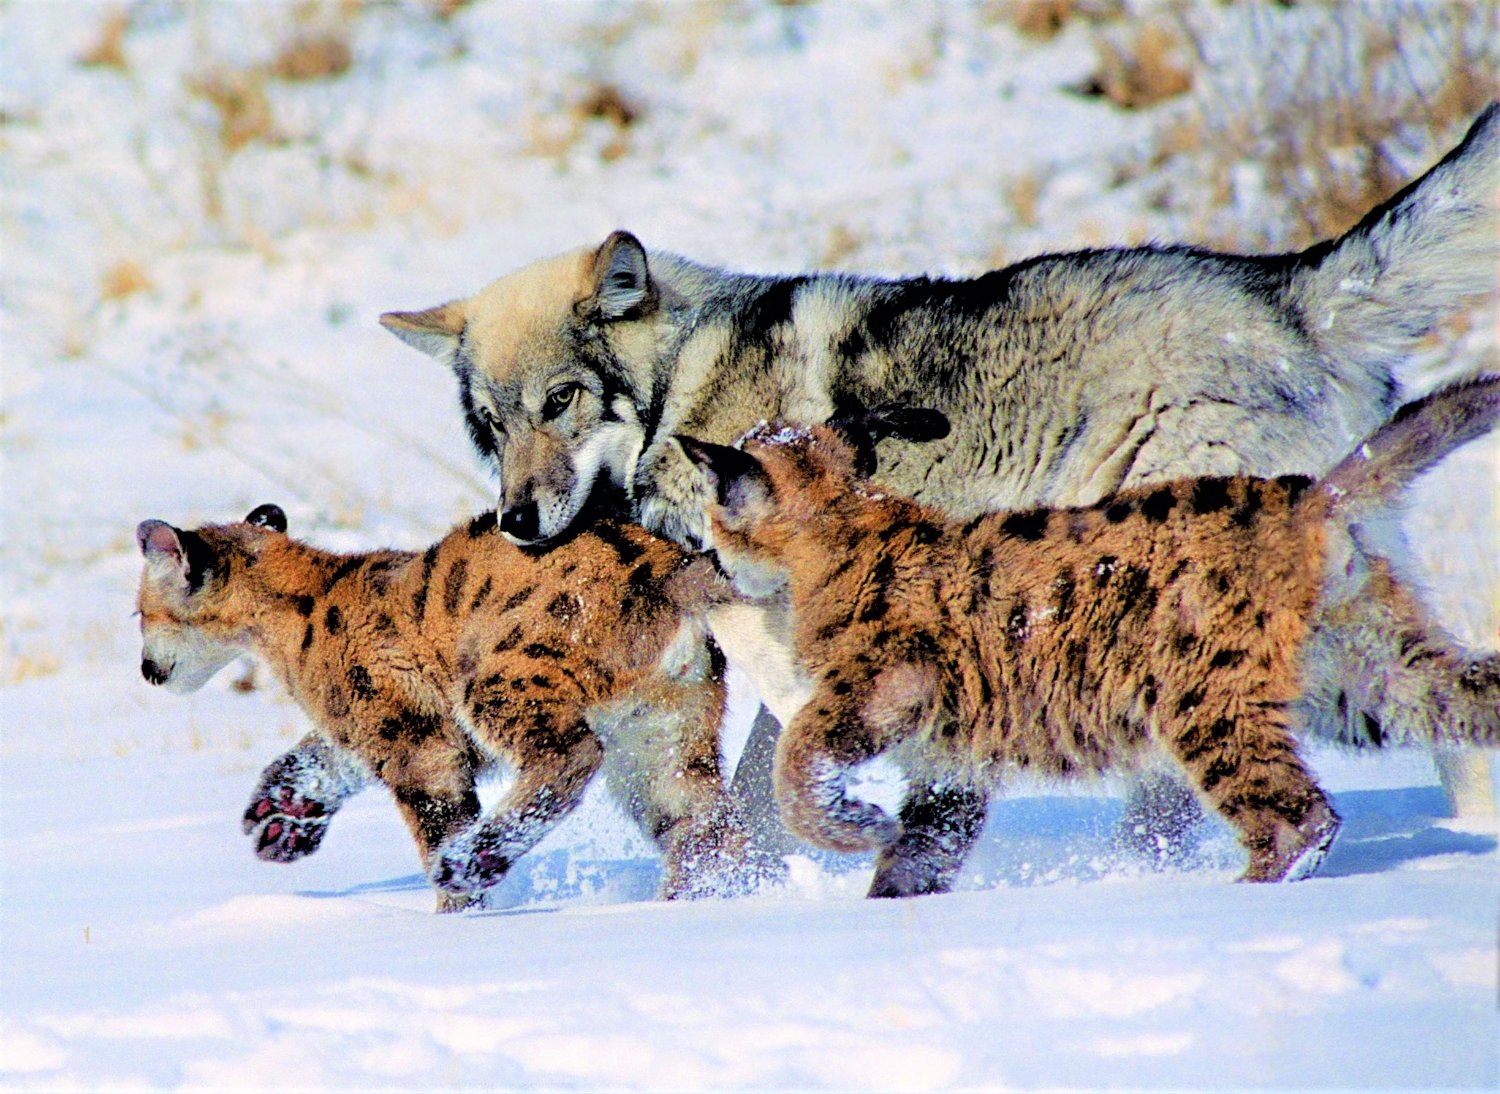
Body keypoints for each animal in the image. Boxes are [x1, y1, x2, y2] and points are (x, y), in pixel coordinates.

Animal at [135, 503, 763, 911]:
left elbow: (435, 819)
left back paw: (472, 860)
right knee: (704, 826)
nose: (145, 670)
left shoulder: (415, 738)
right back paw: (696, 902)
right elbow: (320, 755)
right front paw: (284, 812)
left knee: (570, 758)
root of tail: (666, 570)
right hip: (662, 738)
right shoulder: (367, 726)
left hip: (500, 677)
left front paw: (455, 916)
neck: (301, 598)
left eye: (140, 614)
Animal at [675, 379, 1500, 893]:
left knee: (1302, 818)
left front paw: (855, 827)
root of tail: (1306, 493)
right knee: (1472, 696)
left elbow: (794, 766)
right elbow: (921, 850)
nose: (699, 554)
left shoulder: (887, 684)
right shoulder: (950, 762)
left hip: (1201, 698)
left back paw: (1238, 897)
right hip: (1368, 678)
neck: (849, 519)